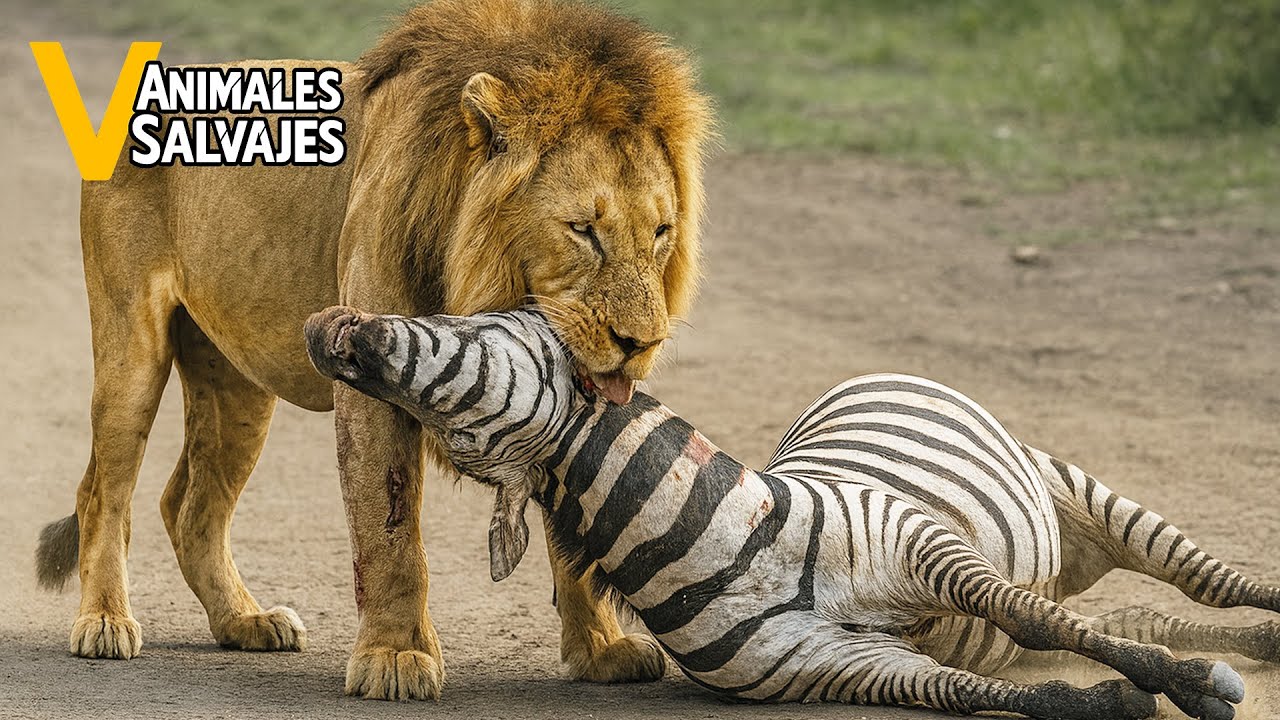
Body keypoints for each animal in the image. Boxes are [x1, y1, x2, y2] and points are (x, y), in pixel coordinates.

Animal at [34, 0, 712, 700]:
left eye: (661, 232)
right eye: (583, 230)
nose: (642, 342)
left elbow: (572, 534)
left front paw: (601, 649)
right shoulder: (368, 359)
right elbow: (390, 529)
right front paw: (395, 656)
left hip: (238, 387)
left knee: (190, 506)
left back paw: (245, 621)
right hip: (131, 350)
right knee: (104, 494)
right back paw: (104, 622)